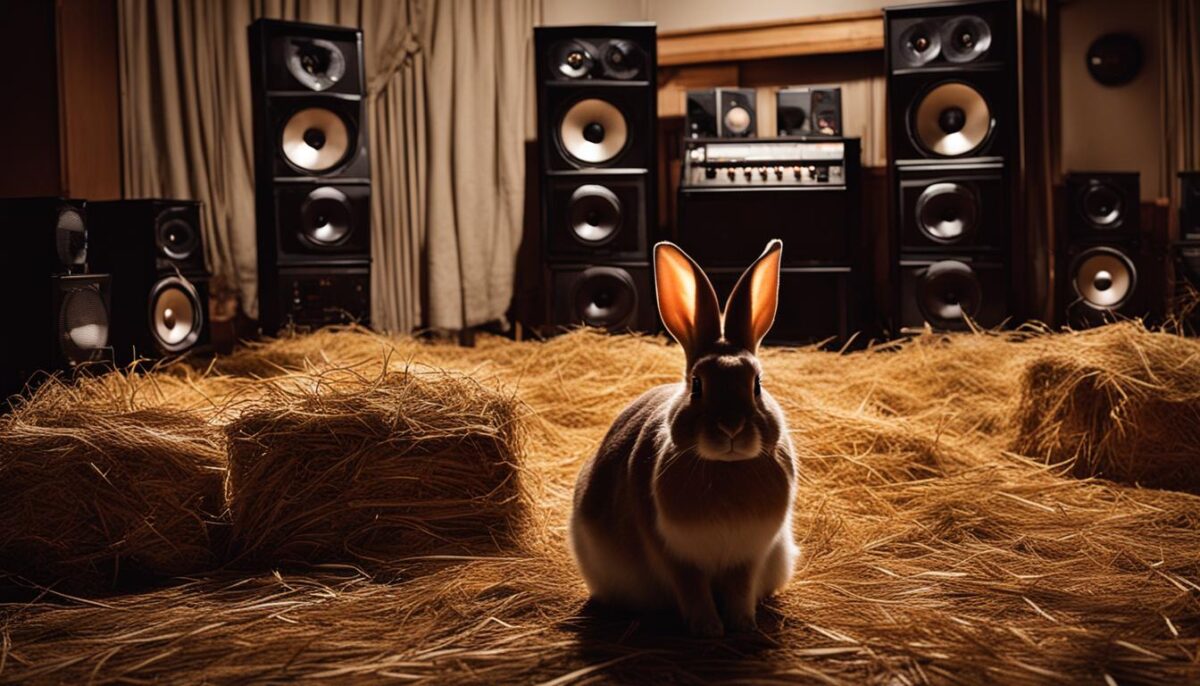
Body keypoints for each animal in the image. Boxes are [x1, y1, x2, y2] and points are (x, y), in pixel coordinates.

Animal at [570, 239, 798, 637]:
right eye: (697, 386)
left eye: (756, 385)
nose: (731, 428)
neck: (726, 468)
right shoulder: (674, 554)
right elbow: (692, 590)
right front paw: (708, 628)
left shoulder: (750, 555)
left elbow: (740, 589)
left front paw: (742, 625)